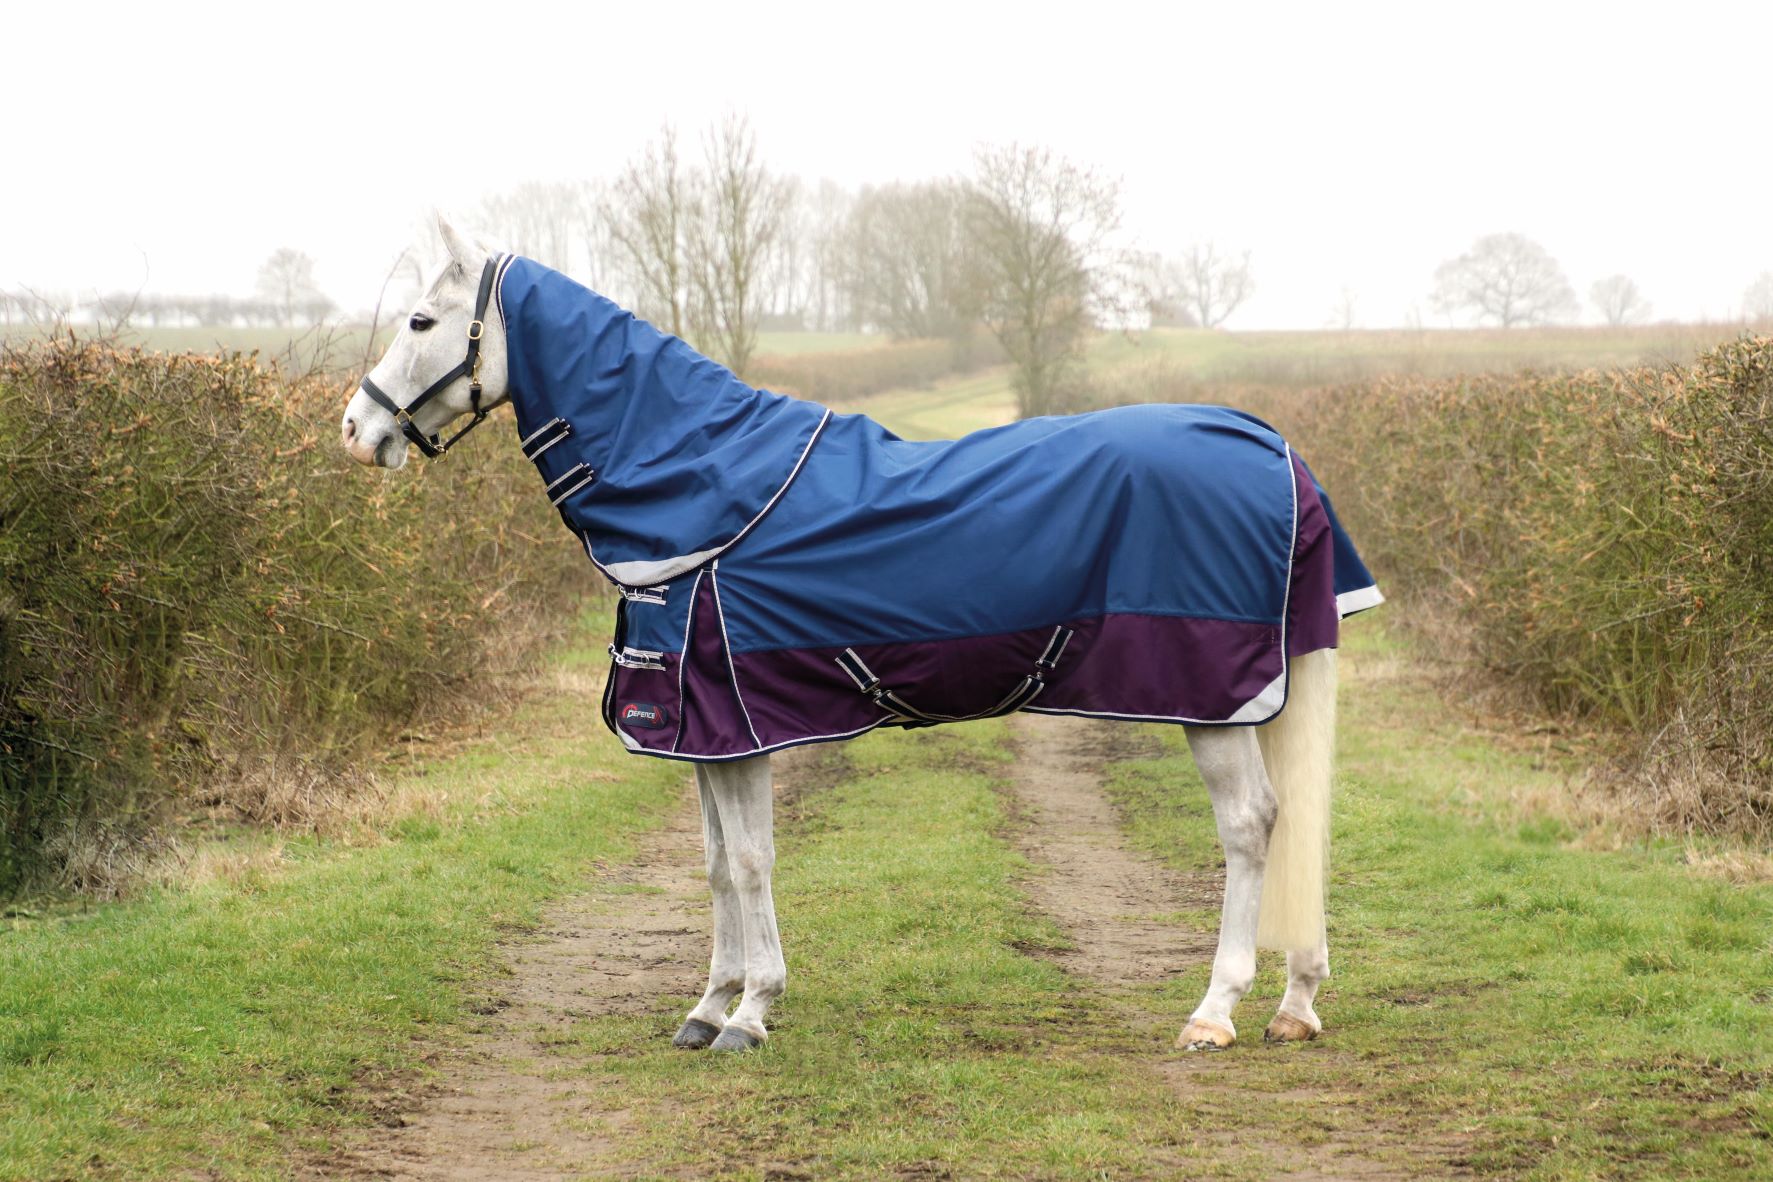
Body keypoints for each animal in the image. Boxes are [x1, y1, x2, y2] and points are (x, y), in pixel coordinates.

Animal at [341, 218, 1381, 1054]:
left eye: (422, 324)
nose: (354, 429)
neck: (705, 485)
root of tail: (1272, 447)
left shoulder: (735, 725)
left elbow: (751, 860)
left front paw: (751, 1013)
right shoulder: (698, 732)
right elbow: (714, 865)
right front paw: (706, 1006)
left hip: (1214, 700)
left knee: (1251, 826)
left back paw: (1215, 1011)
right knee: (1294, 824)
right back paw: (1295, 1004)